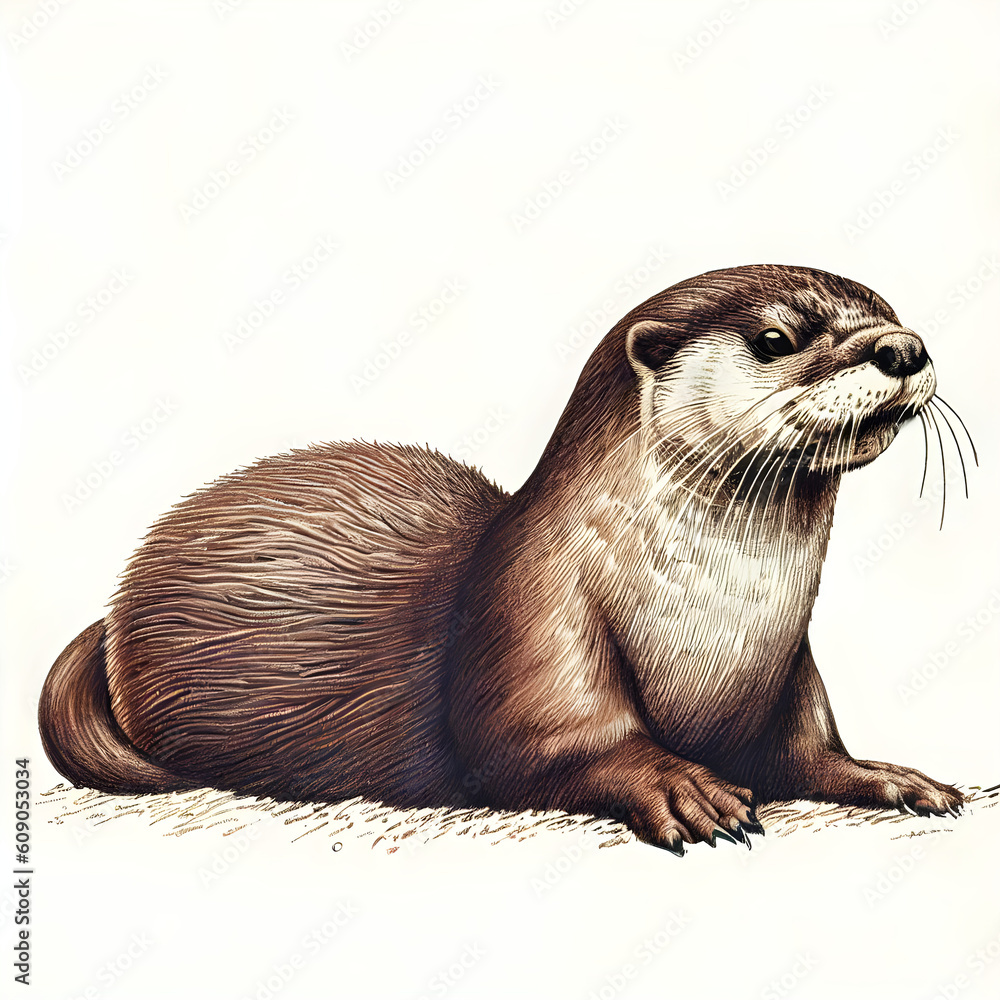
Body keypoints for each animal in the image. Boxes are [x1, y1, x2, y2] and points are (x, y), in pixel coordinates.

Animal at [39, 264, 967, 855]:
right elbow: (553, 740)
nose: (903, 346)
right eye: (777, 335)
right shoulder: (532, 607)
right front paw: (679, 786)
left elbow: (807, 748)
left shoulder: (787, 666)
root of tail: (114, 617)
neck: (715, 623)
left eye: (889, 307)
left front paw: (888, 776)